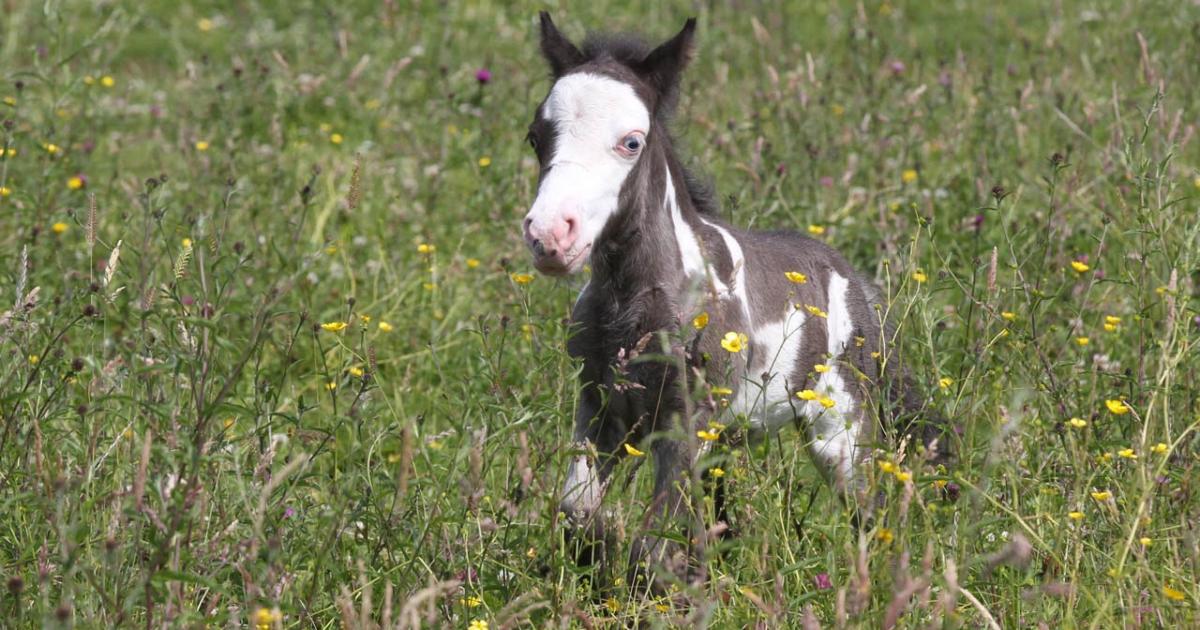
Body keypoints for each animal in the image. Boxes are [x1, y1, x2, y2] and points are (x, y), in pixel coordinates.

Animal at [521, 12, 944, 591]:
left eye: (631, 142)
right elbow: (579, 515)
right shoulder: (600, 405)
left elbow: (653, 544)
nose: (549, 236)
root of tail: (856, 283)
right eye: (535, 136)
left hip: (840, 426)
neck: (636, 305)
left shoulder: (687, 418)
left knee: (868, 509)